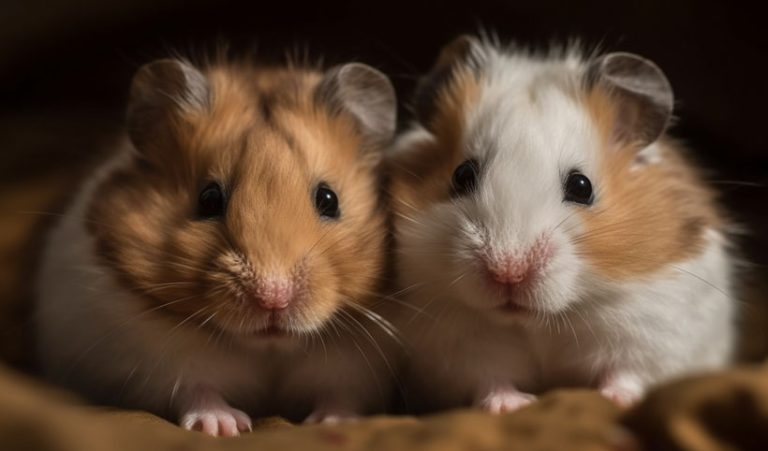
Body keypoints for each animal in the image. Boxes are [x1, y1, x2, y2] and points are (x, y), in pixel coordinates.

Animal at [35, 57, 399, 435]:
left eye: (329, 200)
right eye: (208, 199)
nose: (274, 298)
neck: (268, 349)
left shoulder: (356, 369)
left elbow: (341, 395)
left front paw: (332, 423)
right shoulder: (148, 361)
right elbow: (195, 390)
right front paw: (225, 427)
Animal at [387, 35, 737, 412]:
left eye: (581, 187)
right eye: (462, 175)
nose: (508, 272)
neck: (542, 319)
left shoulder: (651, 327)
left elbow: (628, 373)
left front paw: (614, 399)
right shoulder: (456, 342)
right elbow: (489, 379)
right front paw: (512, 405)